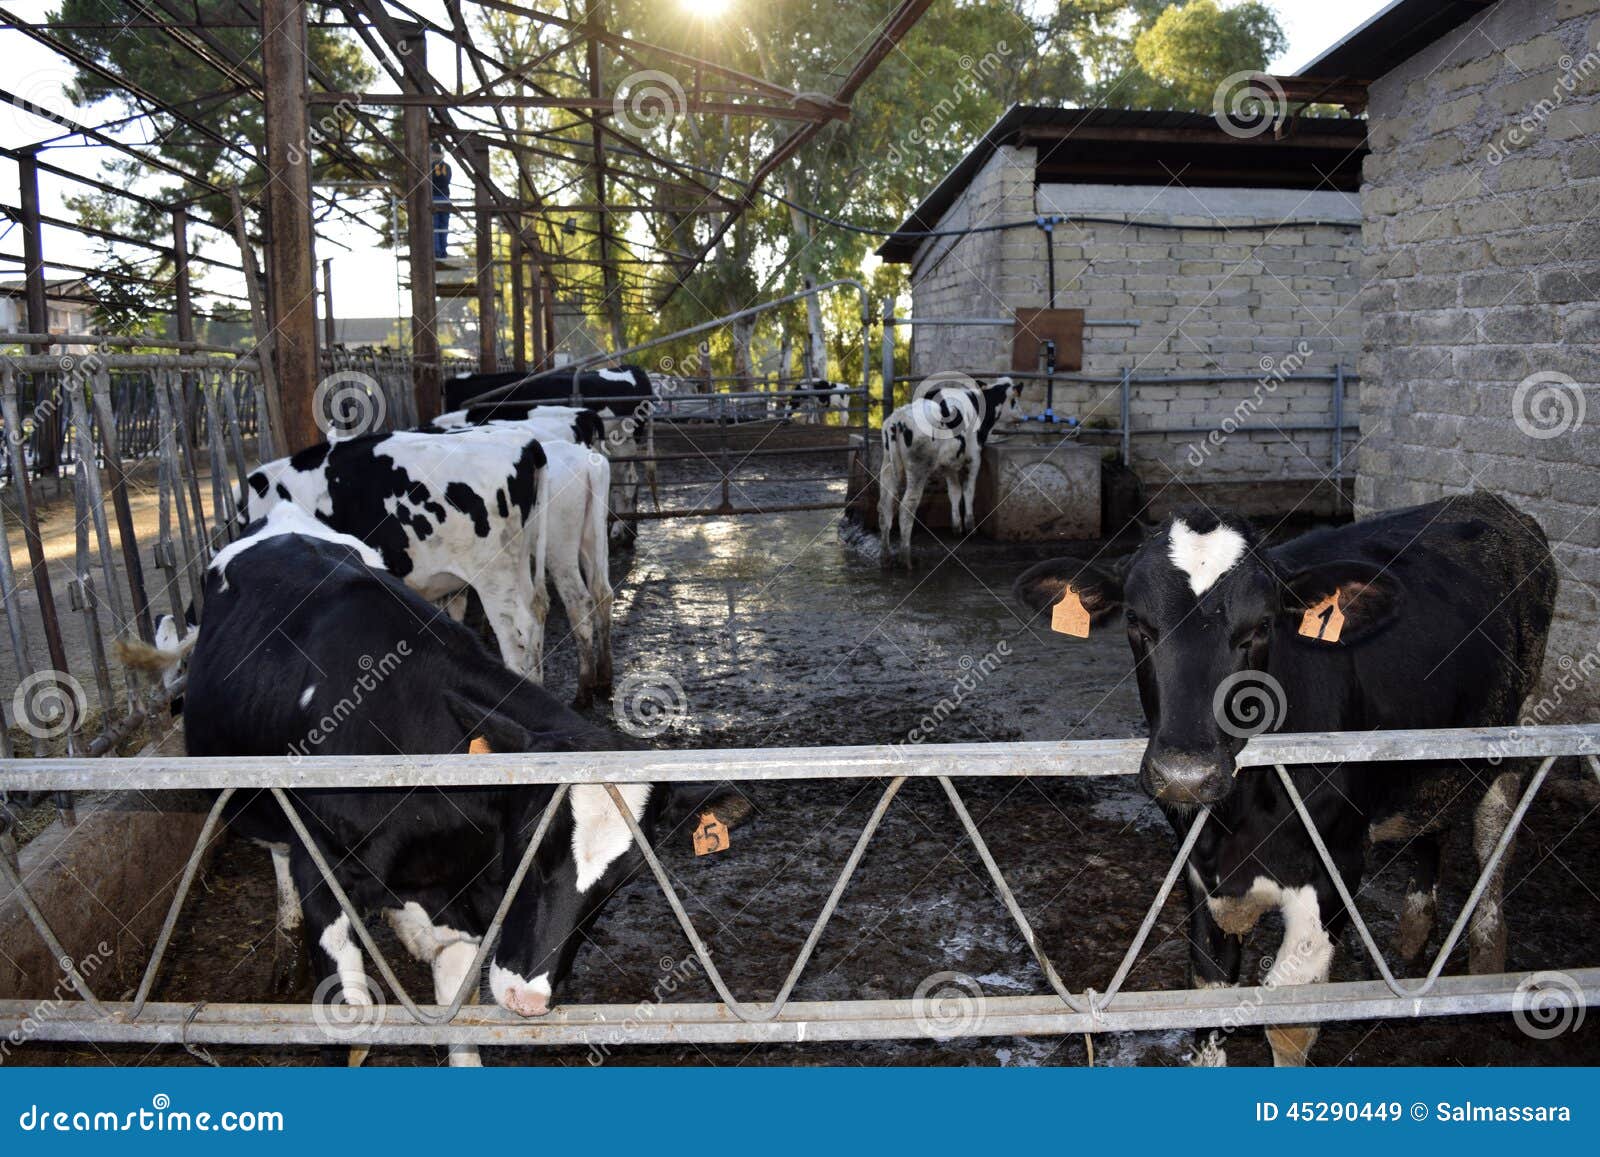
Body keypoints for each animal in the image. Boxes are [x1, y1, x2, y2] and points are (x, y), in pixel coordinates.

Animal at [120, 503, 748, 1066]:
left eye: (627, 877)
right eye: (529, 843)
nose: (527, 999)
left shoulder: (458, 910)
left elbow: (456, 1016)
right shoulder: (320, 866)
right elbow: (353, 1025)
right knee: (274, 849)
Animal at [877, 376, 1022, 569]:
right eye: (1015, 399)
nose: (1022, 415)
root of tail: (897, 419)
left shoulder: (949, 465)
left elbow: (954, 492)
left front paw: (956, 526)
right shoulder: (974, 458)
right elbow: (968, 491)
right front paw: (970, 527)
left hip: (887, 466)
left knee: (884, 507)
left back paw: (885, 557)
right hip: (918, 468)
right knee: (907, 508)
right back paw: (906, 559)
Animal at [1012, 491, 1557, 1065]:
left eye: (1261, 626)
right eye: (1138, 624)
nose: (1186, 773)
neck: (1242, 816)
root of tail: (1489, 502)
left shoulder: (1336, 865)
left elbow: (1289, 1017)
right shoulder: (1200, 867)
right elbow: (1207, 993)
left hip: (1514, 724)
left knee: (1494, 833)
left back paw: (1488, 957)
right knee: (1433, 820)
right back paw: (1412, 938)